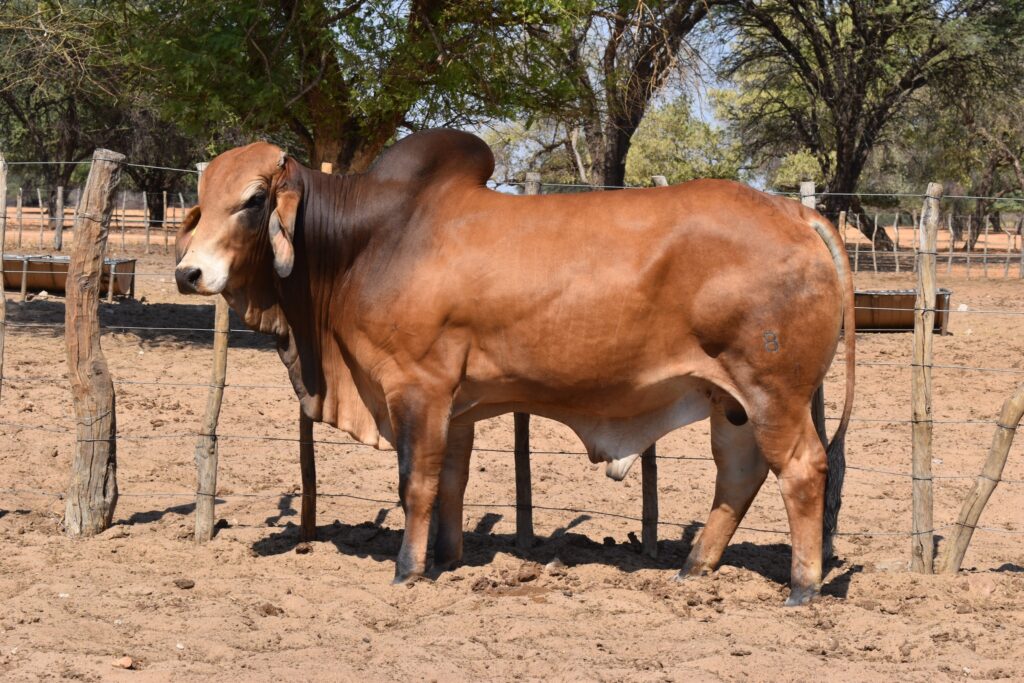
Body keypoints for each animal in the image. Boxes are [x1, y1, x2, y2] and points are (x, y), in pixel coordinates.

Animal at [175, 129, 854, 606]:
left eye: (253, 200)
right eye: (202, 201)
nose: (189, 272)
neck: (365, 241)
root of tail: (792, 213)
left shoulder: (417, 387)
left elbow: (414, 484)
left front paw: (407, 570)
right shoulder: (457, 405)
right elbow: (450, 483)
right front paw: (447, 559)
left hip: (773, 392)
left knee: (802, 469)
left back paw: (802, 587)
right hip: (729, 402)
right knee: (739, 477)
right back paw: (693, 568)